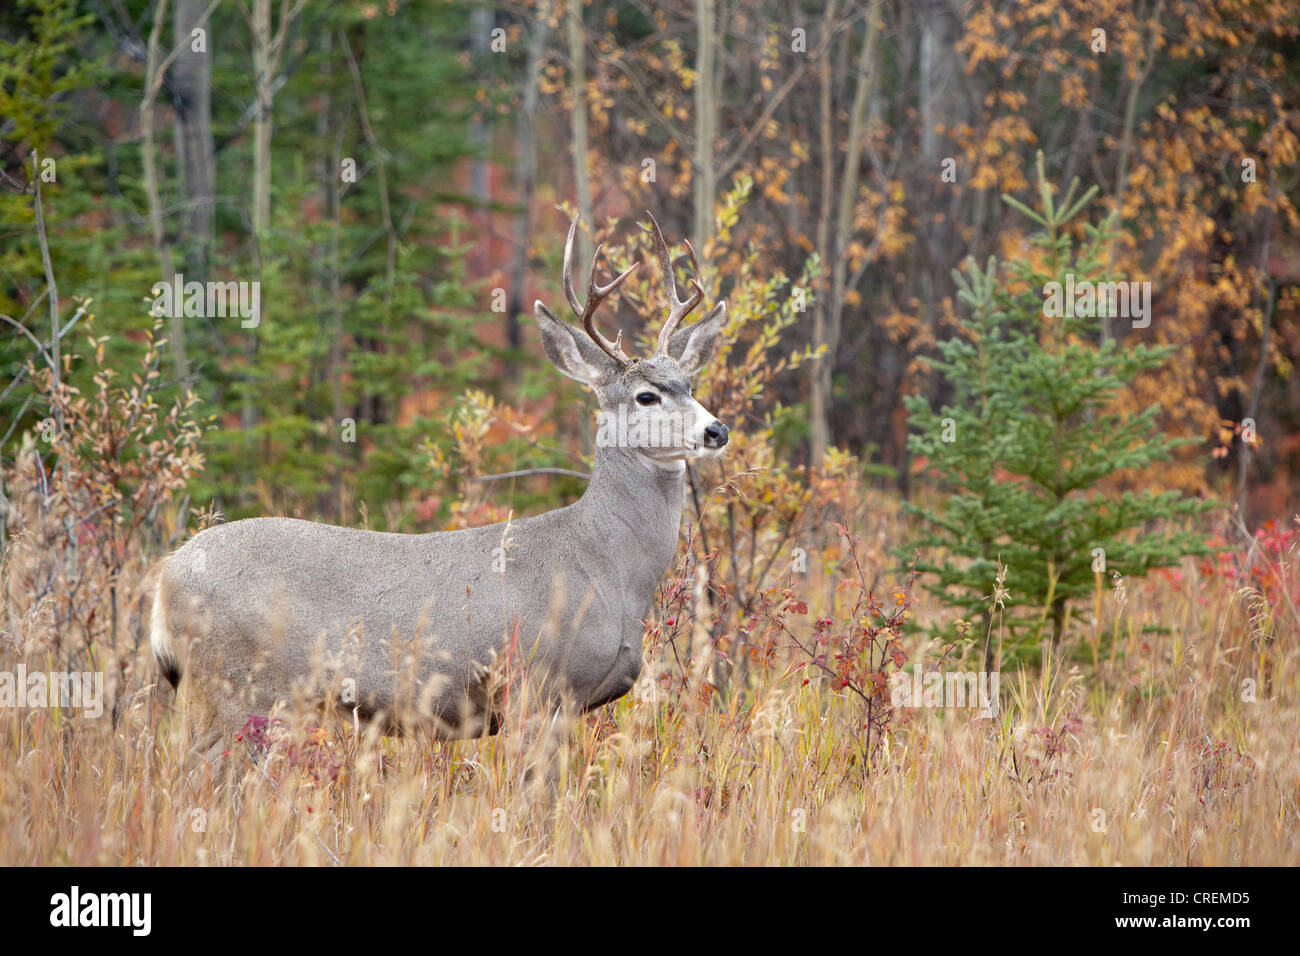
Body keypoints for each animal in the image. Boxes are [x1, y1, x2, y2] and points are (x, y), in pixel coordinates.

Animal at [150, 211, 729, 775]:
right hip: (239, 683)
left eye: (691, 386)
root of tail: (166, 576)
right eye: (646, 396)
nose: (716, 430)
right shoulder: (533, 682)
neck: (605, 567)